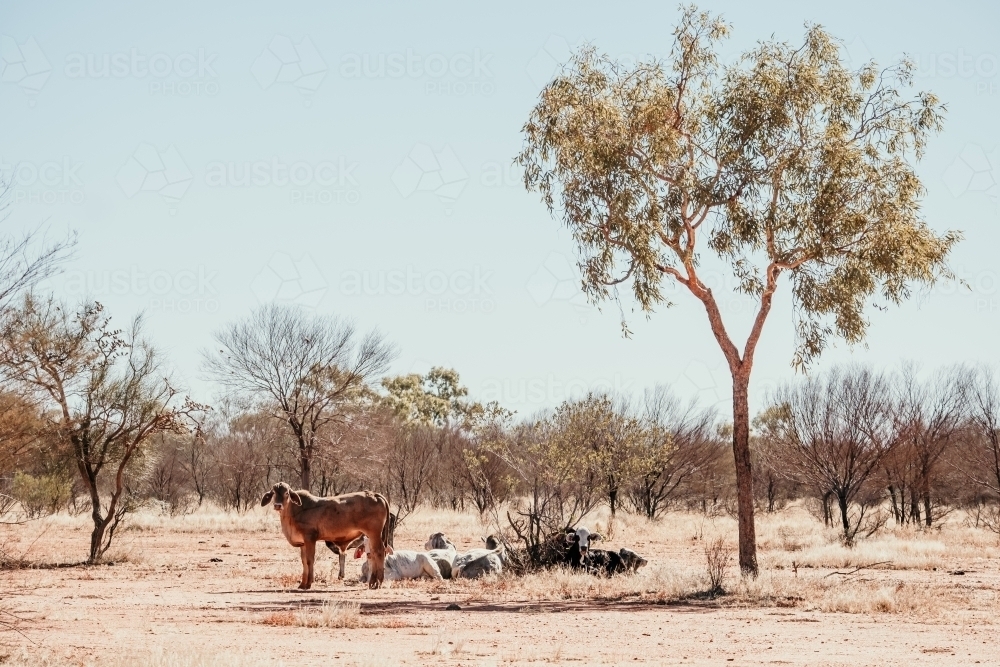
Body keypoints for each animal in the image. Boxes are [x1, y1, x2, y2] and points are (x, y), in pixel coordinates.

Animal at [261, 482, 390, 590]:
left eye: (286, 493)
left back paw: (377, 583)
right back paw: (373, 582)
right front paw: (302, 584)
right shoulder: (303, 543)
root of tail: (375, 494)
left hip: (374, 534)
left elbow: (309, 560)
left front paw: (308, 584)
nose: (278, 505)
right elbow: (304, 561)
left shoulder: (310, 539)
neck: (295, 511)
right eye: (273, 493)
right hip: (371, 536)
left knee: (379, 552)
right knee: (373, 553)